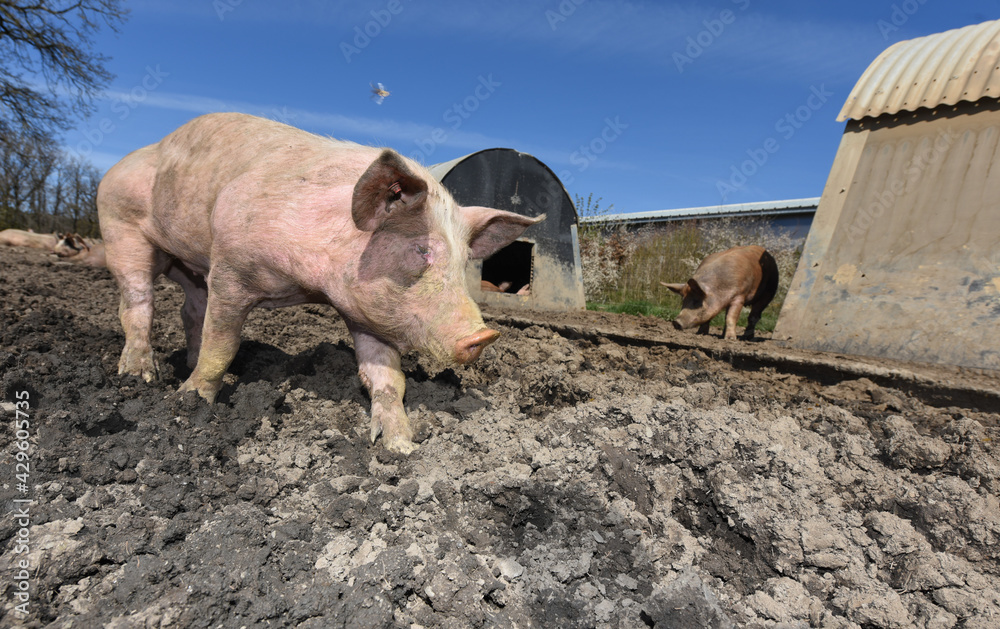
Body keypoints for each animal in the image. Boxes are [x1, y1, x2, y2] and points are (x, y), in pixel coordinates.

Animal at [98, 112, 543, 453]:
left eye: (464, 260)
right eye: (421, 250)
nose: (484, 335)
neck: (308, 287)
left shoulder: (365, 313)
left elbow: (388, 377)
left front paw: (400, 446)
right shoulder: (229, 267)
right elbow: (221, 345)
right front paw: (189, 403)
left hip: (189, 267)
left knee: (189, 309)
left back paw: (182, 364)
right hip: (119, 225)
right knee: (137, 300)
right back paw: (139, 376)